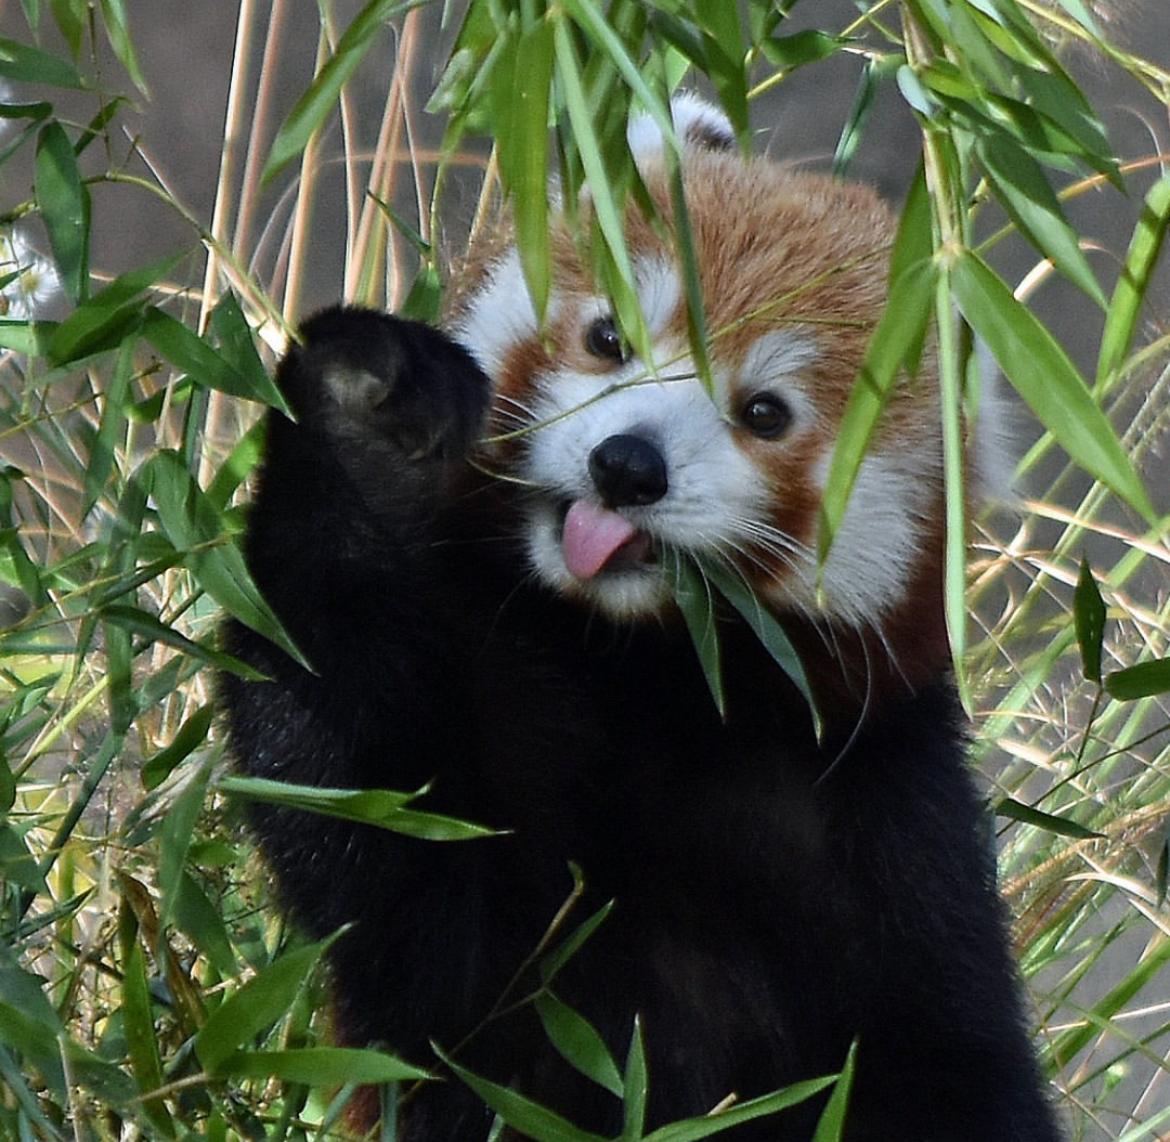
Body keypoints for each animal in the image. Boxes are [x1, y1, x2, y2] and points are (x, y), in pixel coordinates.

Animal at [218, 98, 1063, 1140]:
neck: (639, 670)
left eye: (765, 412)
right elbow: (365, 820)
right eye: (608, 338)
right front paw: (364, 408)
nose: (626, 465)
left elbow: (949, 1067)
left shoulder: (893, 825)